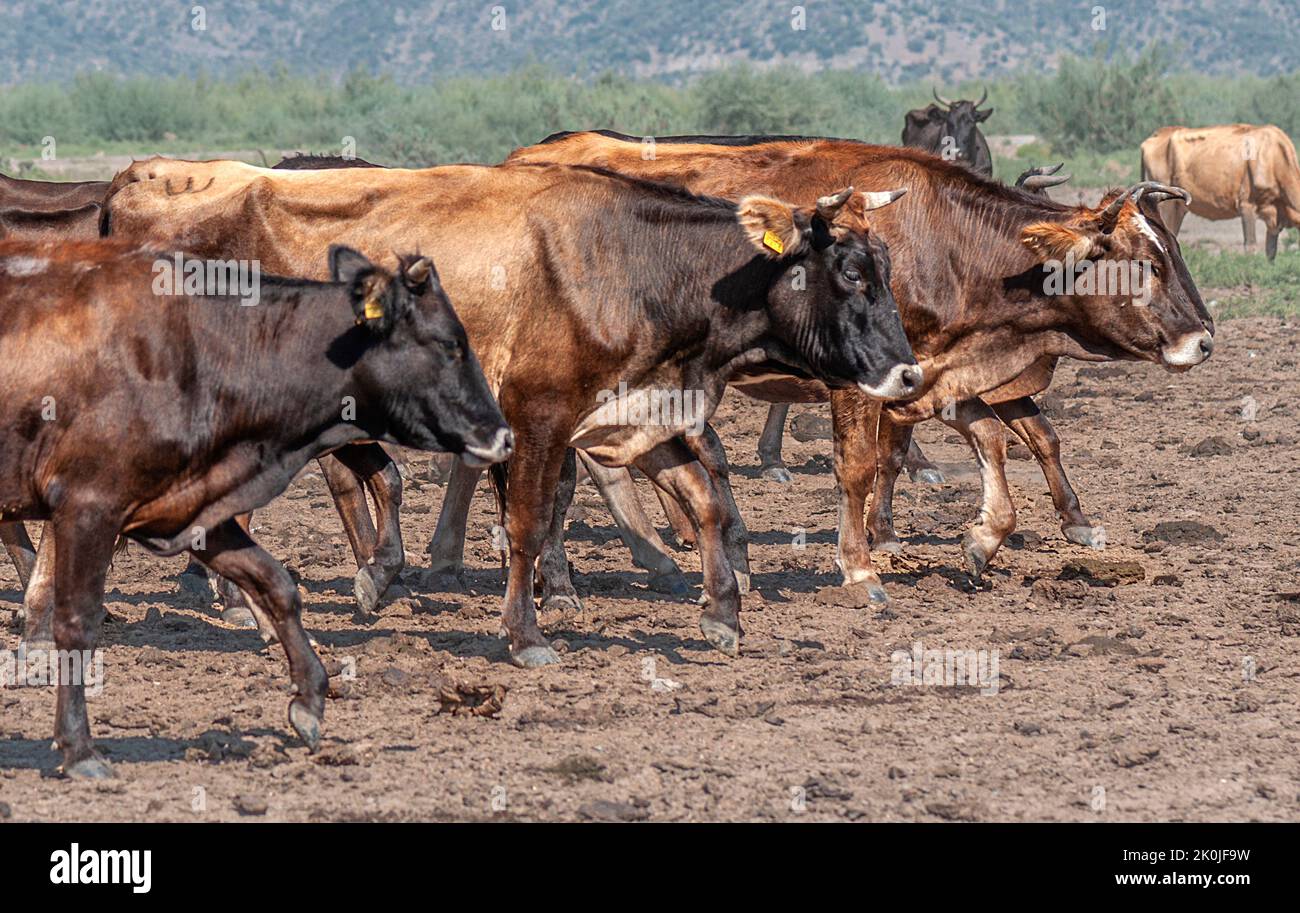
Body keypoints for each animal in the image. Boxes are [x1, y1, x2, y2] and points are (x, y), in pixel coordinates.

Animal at [0, 239, 512, 777]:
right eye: (450, 344)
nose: (503, 436)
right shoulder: (89, 507)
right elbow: (77, 623)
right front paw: (79, 748)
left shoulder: (189, 510)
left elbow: (275, 583)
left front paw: (309, 699)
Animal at [100, 156, 921, 667]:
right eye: (850, 273)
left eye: (883, 268)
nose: (909, 371)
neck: (631, 263)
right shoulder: (539, 416)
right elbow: (527, 522)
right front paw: (525, 633)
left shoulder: (633, 412)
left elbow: (707, 500)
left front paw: (721, 613)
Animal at [502, 131, 1214, 604]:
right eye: (1146, 264)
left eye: (1174, 251)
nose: (1204, 340)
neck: (942, 240)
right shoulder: (864, 381)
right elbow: (859, 466)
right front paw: (861, 566)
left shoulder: (932, 375)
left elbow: (992, 437)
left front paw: (984, 538)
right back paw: (560, 579)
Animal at [1141, 124, 1300, 260]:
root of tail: (1158, 134)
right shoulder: (1246, 206)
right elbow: (1250, 246)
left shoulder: (1274, 218)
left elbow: (1271, 251)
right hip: (1165, 205)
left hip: (1177, 208)